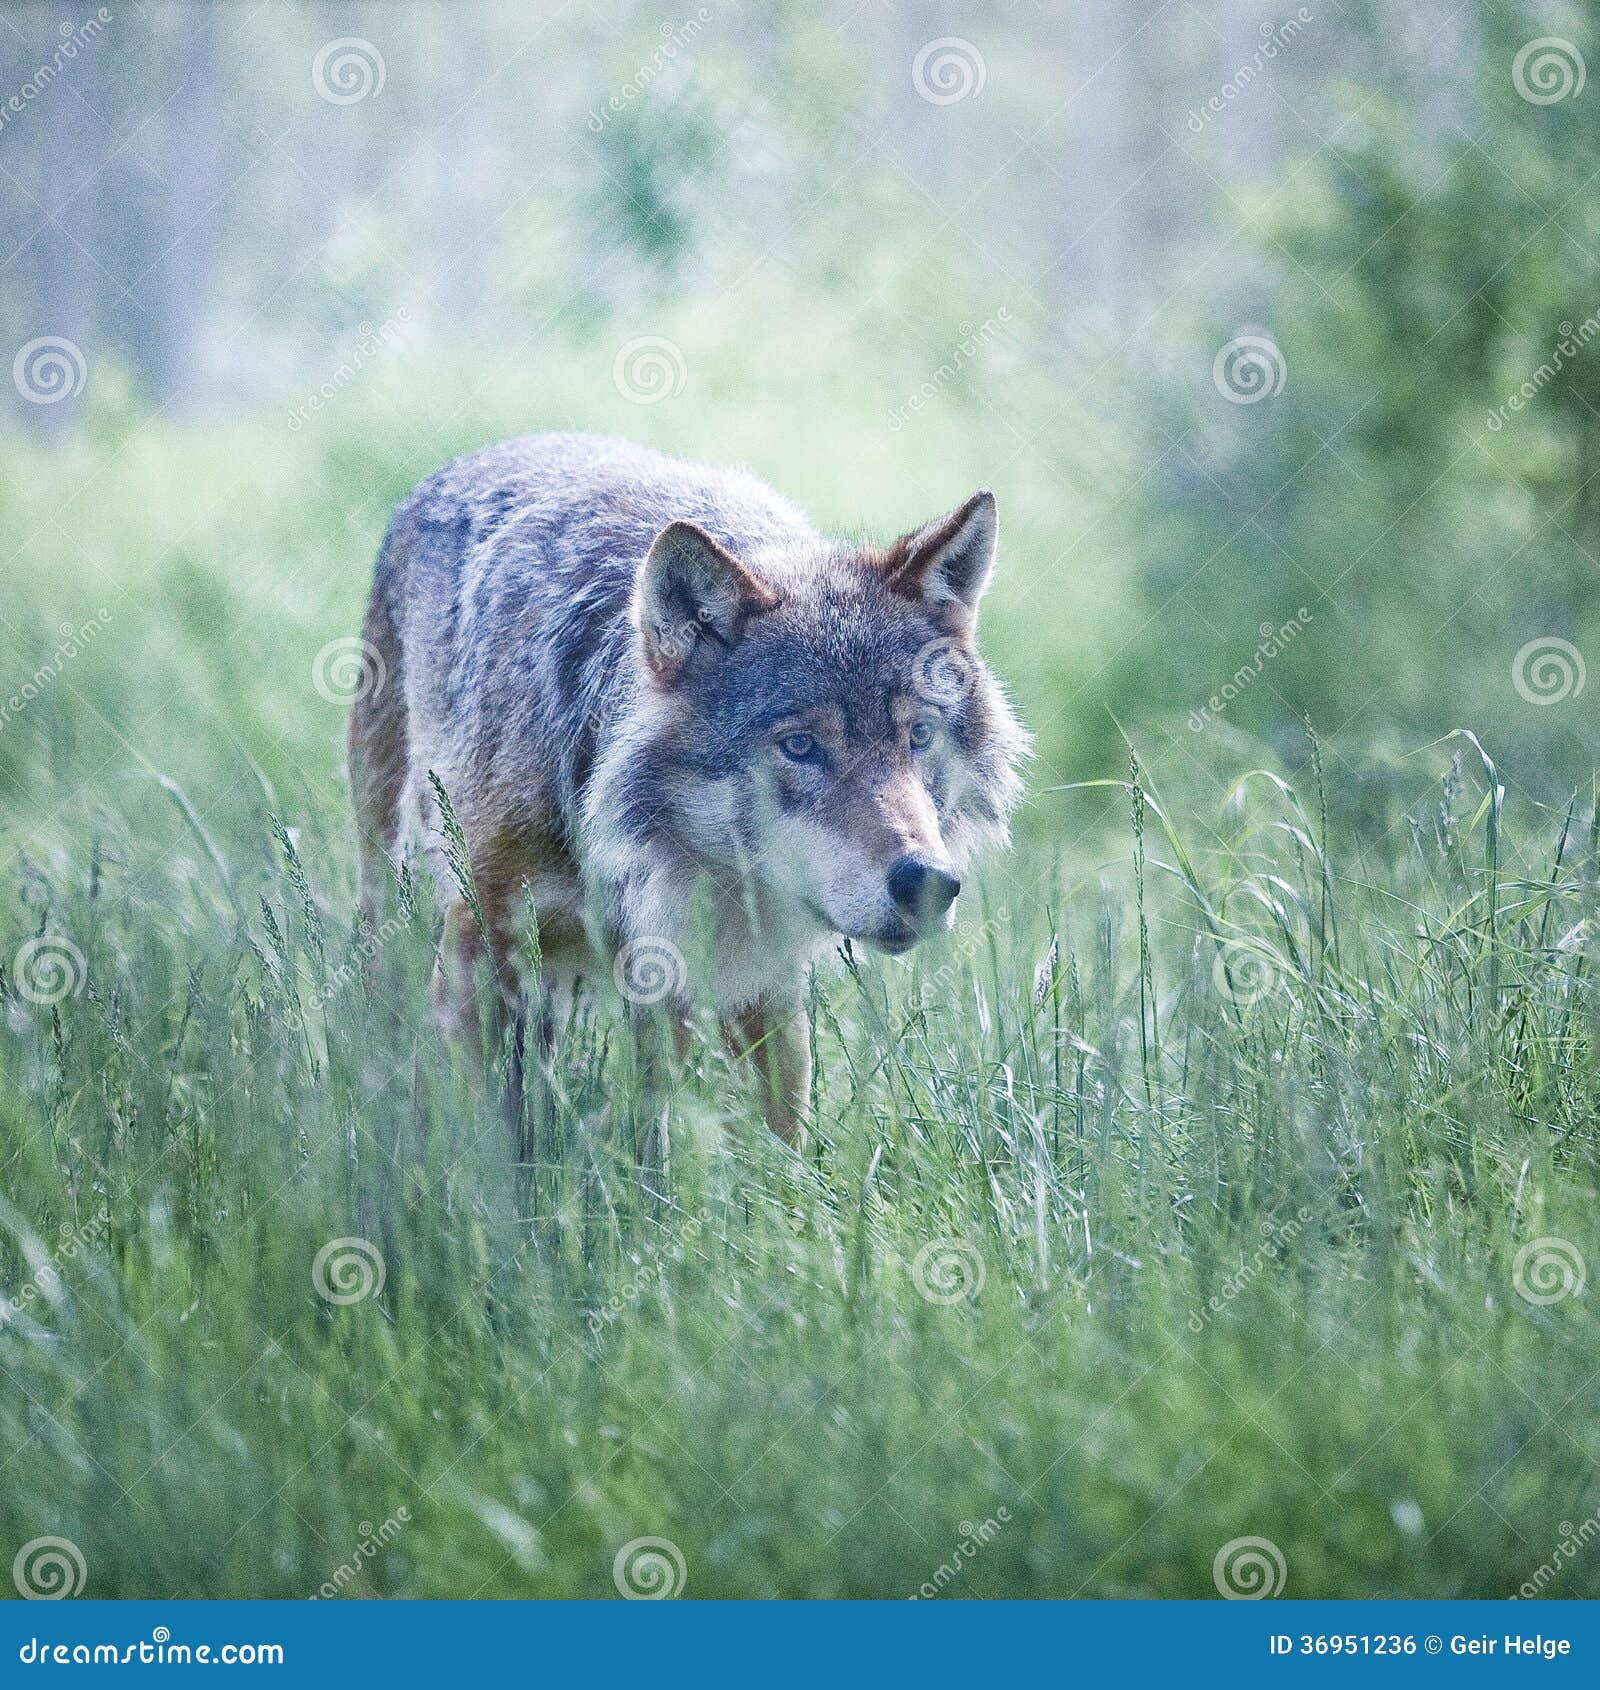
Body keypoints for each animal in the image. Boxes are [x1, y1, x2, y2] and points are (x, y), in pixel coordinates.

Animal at [348, 433, 1027, 1147]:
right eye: (800, 746)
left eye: (919, 735)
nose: (929, 881)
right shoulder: (475, 951)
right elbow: (474, 1129)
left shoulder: (762, 986)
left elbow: (775, 1146)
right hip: (396, 901)